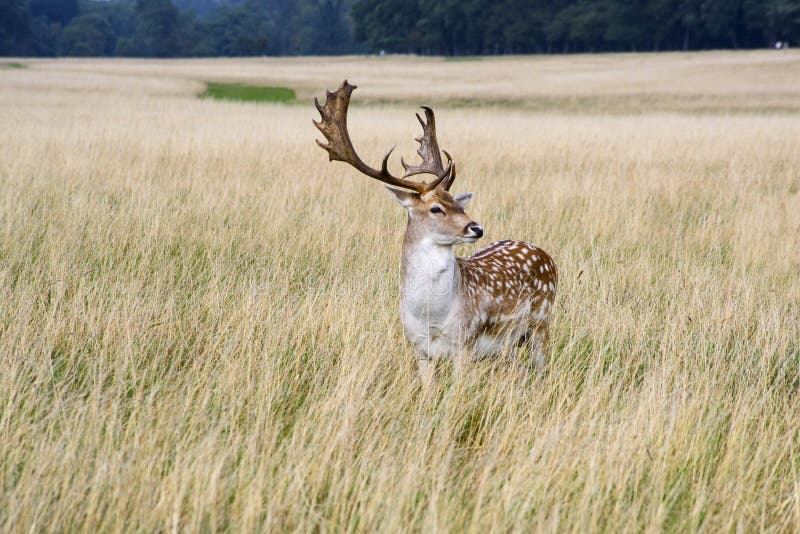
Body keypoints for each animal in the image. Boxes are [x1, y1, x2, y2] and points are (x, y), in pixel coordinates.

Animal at [314, 81, 557, 384]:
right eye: (435, 208)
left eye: (458, 203)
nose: (476, 227)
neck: (431, 317)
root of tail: (546, 256)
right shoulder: (419, 349)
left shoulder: (465, 343)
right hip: (511, 342)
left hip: (541, 322)